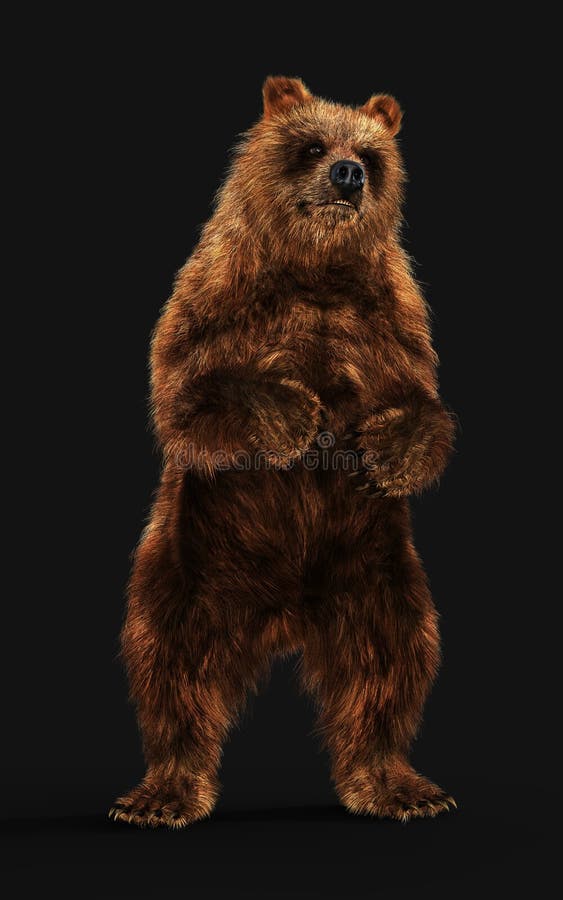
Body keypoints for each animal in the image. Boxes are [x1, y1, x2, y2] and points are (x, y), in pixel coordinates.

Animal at [110, 76, 456, 828]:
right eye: (314, 145)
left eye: (369, 152)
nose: (349, 174)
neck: (316, 270)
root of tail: (287, 614)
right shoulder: (216, 294)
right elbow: (183, 392)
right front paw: (292, 413)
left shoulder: (393, 319)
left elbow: (422, 402)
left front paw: (386, 450)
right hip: (190, 566)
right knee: (168, 665)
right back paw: (165, 790)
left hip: (377, 573)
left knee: (394, 661)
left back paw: (396, 783)